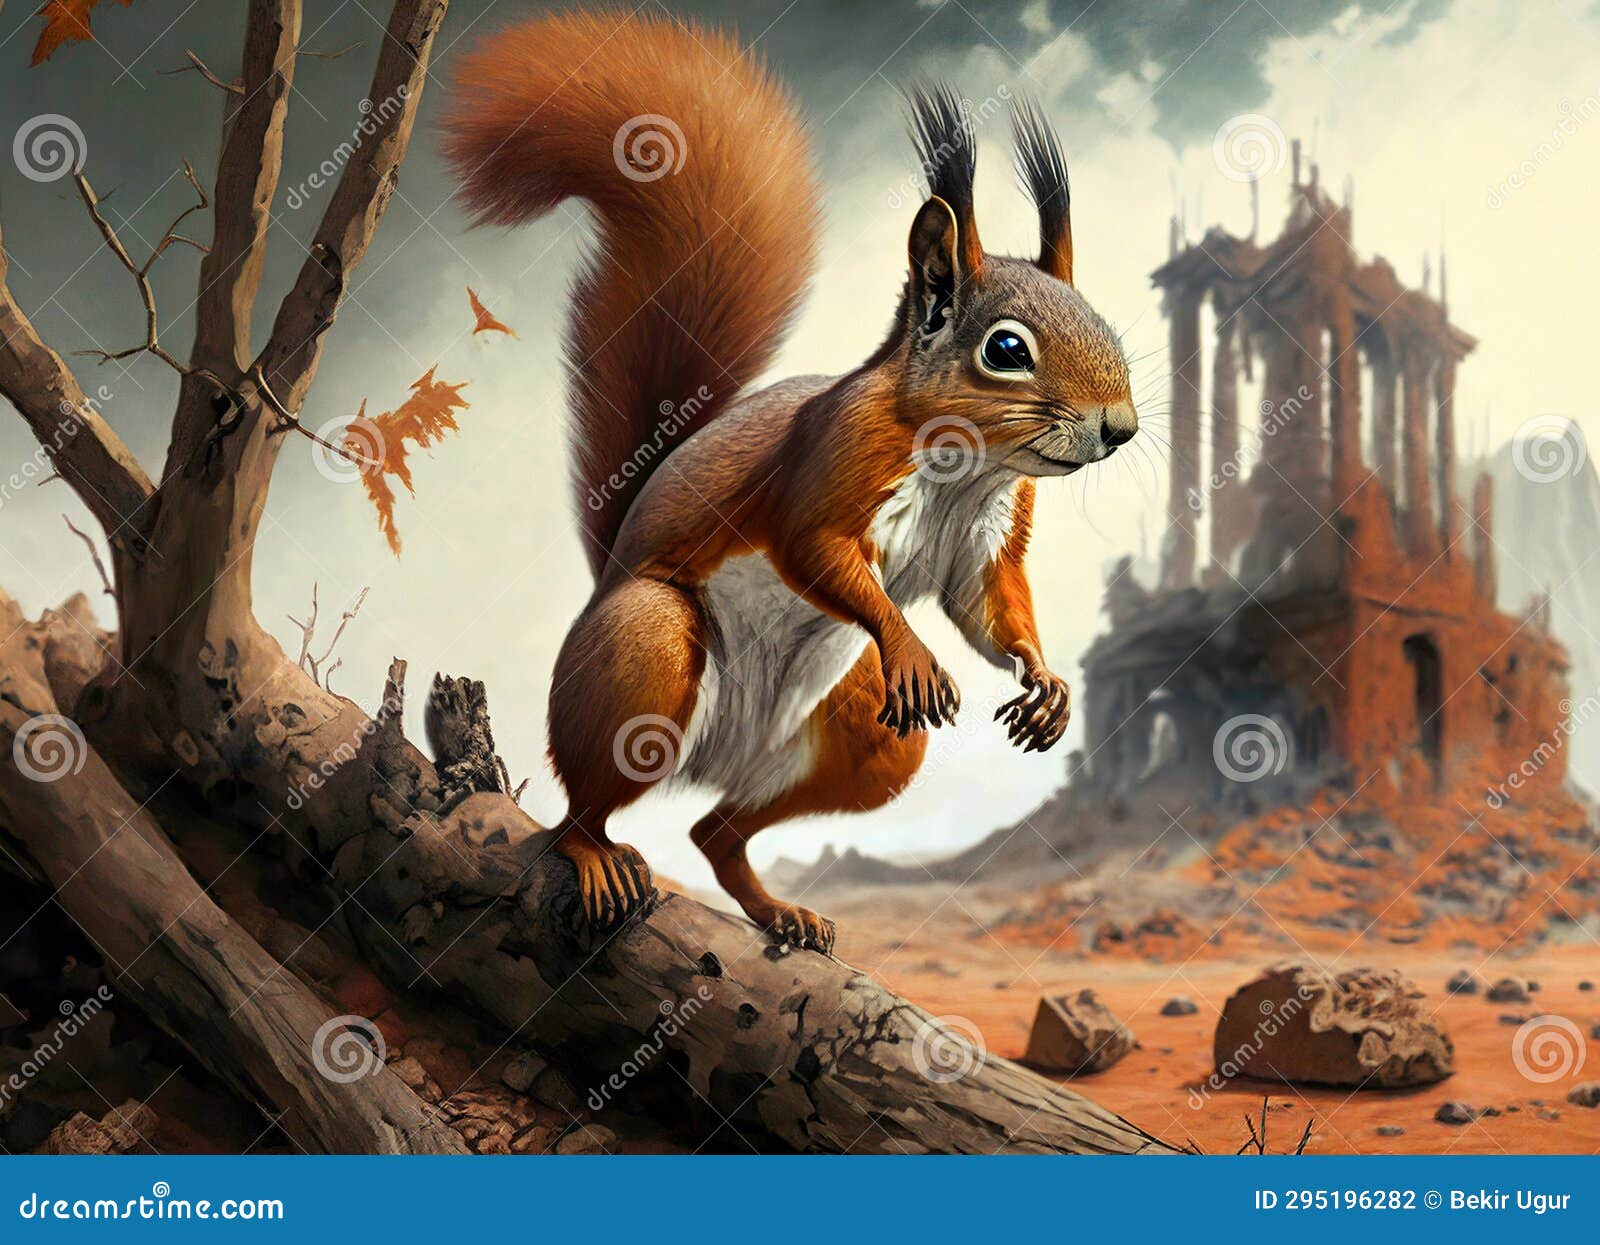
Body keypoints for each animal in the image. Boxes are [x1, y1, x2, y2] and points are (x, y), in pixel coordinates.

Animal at [443, 11, 1137, 950]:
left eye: (1108, 324)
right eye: (1005, 348)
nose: (1120, 427)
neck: (968, 465)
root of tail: (711, 758)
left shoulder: (989, 538)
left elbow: (986, 605)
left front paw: (1046, 682)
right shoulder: (831, 460)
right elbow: (815, 549)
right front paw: (910, 643)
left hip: (863, 732)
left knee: (716, 829)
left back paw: (779, 908)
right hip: (646, 650)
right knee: (583, 807)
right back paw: (593, 853)